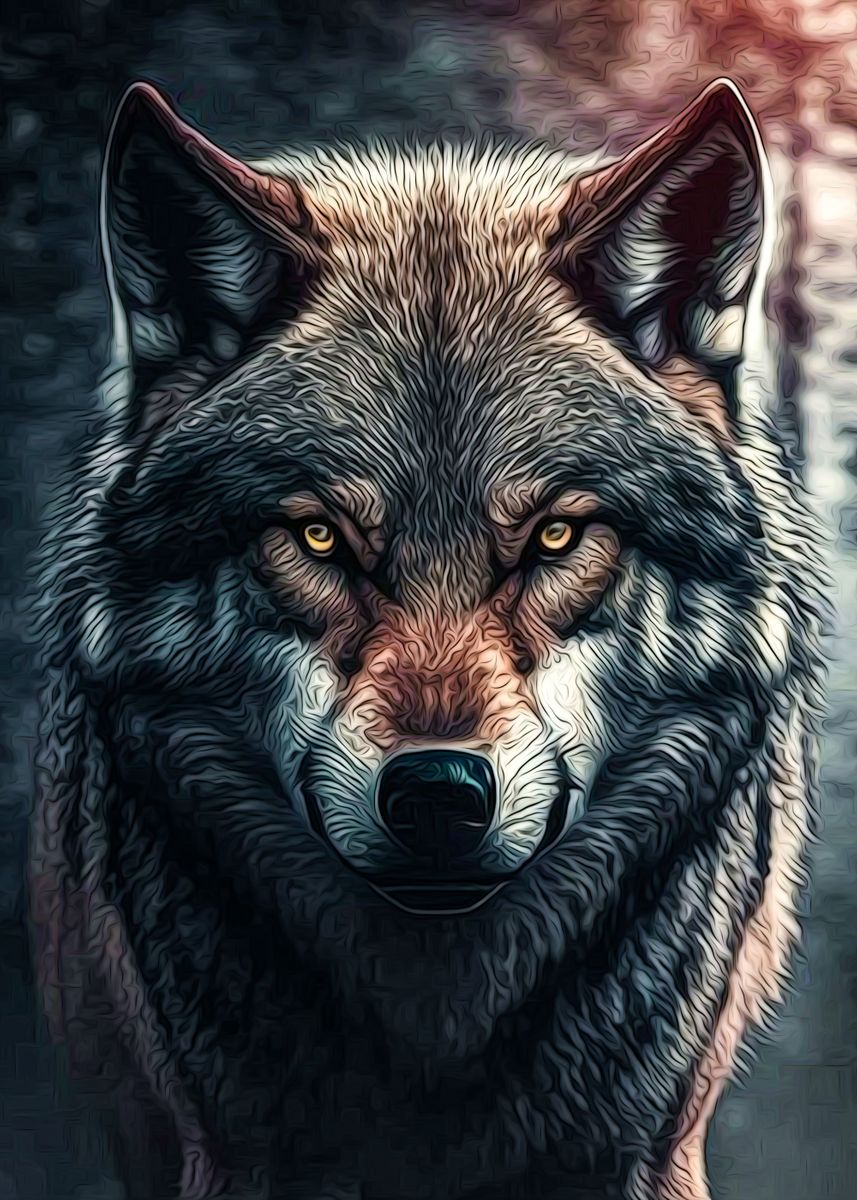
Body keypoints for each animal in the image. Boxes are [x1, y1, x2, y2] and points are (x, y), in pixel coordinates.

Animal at [30, 77, 825, 1200]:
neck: (435, 1027)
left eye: (554, 535)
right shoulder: (230, 1152)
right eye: (318, 535)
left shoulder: (646, 1151)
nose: (438, 793)